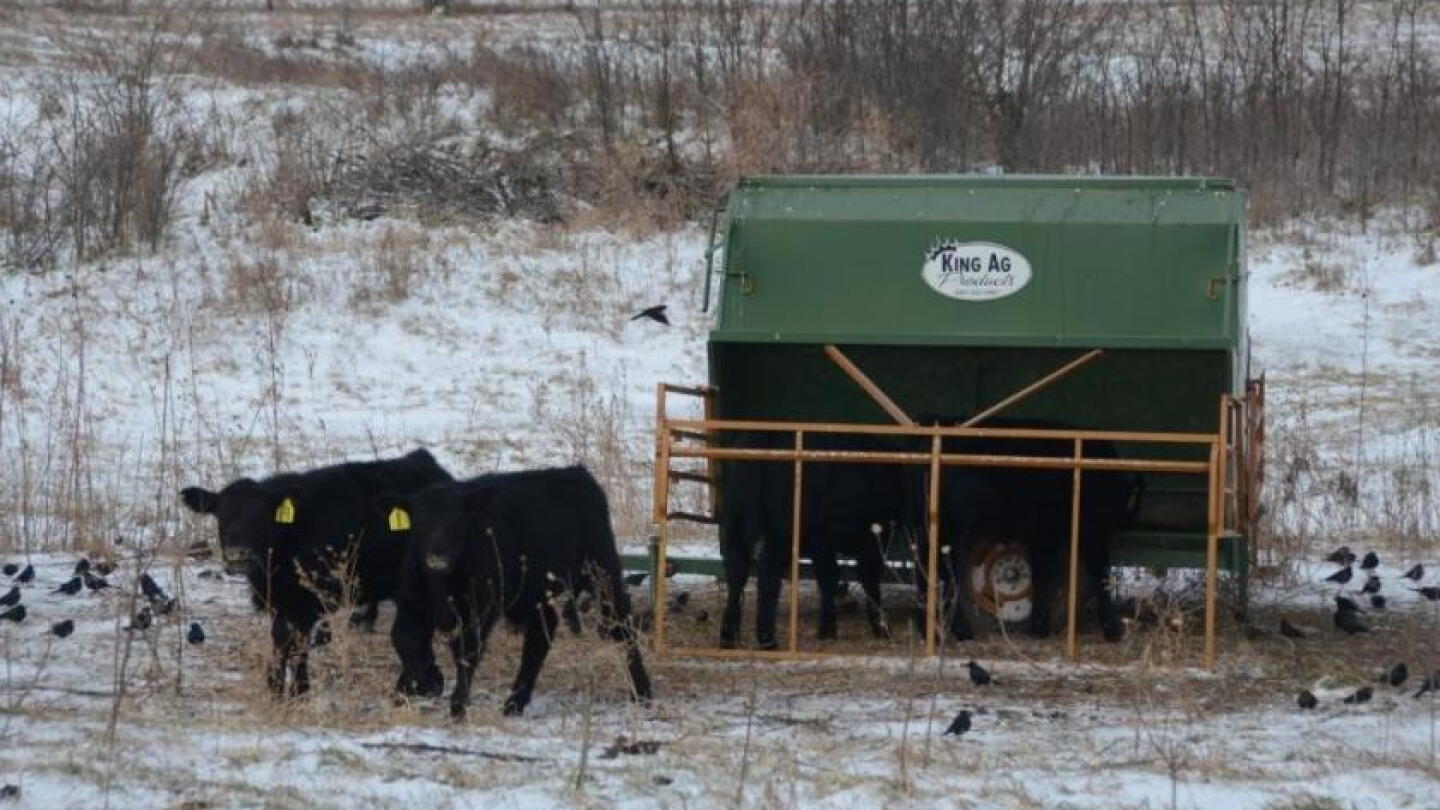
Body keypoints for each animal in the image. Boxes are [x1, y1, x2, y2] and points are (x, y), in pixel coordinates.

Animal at [179, 448, 453, 697]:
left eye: (260, 518)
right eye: (221, 517)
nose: (239, 555)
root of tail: (422, 459)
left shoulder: (307, 602)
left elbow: (298, 645)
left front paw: (299, 690)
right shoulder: (283, 602)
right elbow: (280, 641)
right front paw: (277, 688)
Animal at [384, 466, 652, 719]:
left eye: (458, 521)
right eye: (420, 522)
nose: (437, 556)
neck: (442, 582)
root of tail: (577, 472)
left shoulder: (481, 606)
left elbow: (467, 650)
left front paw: (457, 705)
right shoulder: (412, 601)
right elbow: (404, 639)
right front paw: (415, 684)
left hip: (602, 571)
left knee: (622, 625)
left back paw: (642, 693)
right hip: (536, 592)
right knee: (540, 637)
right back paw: (515, 703)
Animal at [718, 432, 915, 650]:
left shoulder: (821, 540)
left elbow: (827, 577)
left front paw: (827, 629)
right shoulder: (871, 534)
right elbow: (867, 576)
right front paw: (881, 627)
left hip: (735, 520)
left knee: (737, 568)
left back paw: (729, 636)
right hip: (781, 530)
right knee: (767, 570)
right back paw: (767, 638)